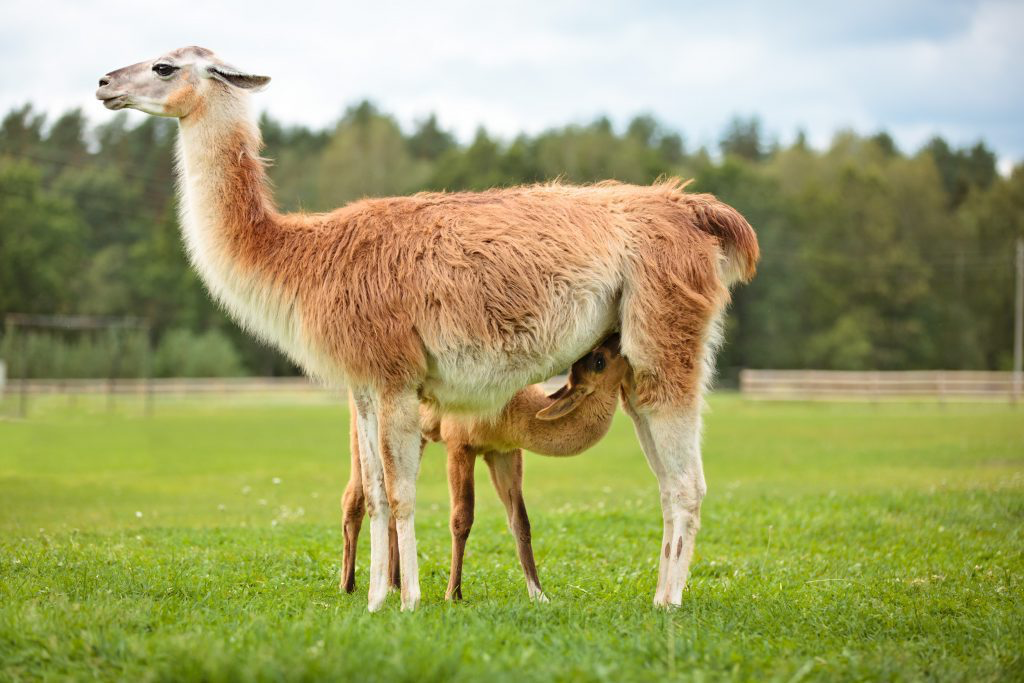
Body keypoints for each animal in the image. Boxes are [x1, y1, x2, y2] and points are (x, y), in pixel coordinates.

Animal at [96, 46, 759, 611]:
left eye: (163, 66)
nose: (103, 84)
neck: (305, 257)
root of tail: (691, 207)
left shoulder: (395, 374)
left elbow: (402, 492)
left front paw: (410, 600)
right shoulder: (365, 384)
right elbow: (376, 492)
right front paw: (375, 600)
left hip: (664, 336)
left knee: (687, 483)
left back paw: (668, 603)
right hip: (634, 359)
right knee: (669, 480)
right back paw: (662, 595)